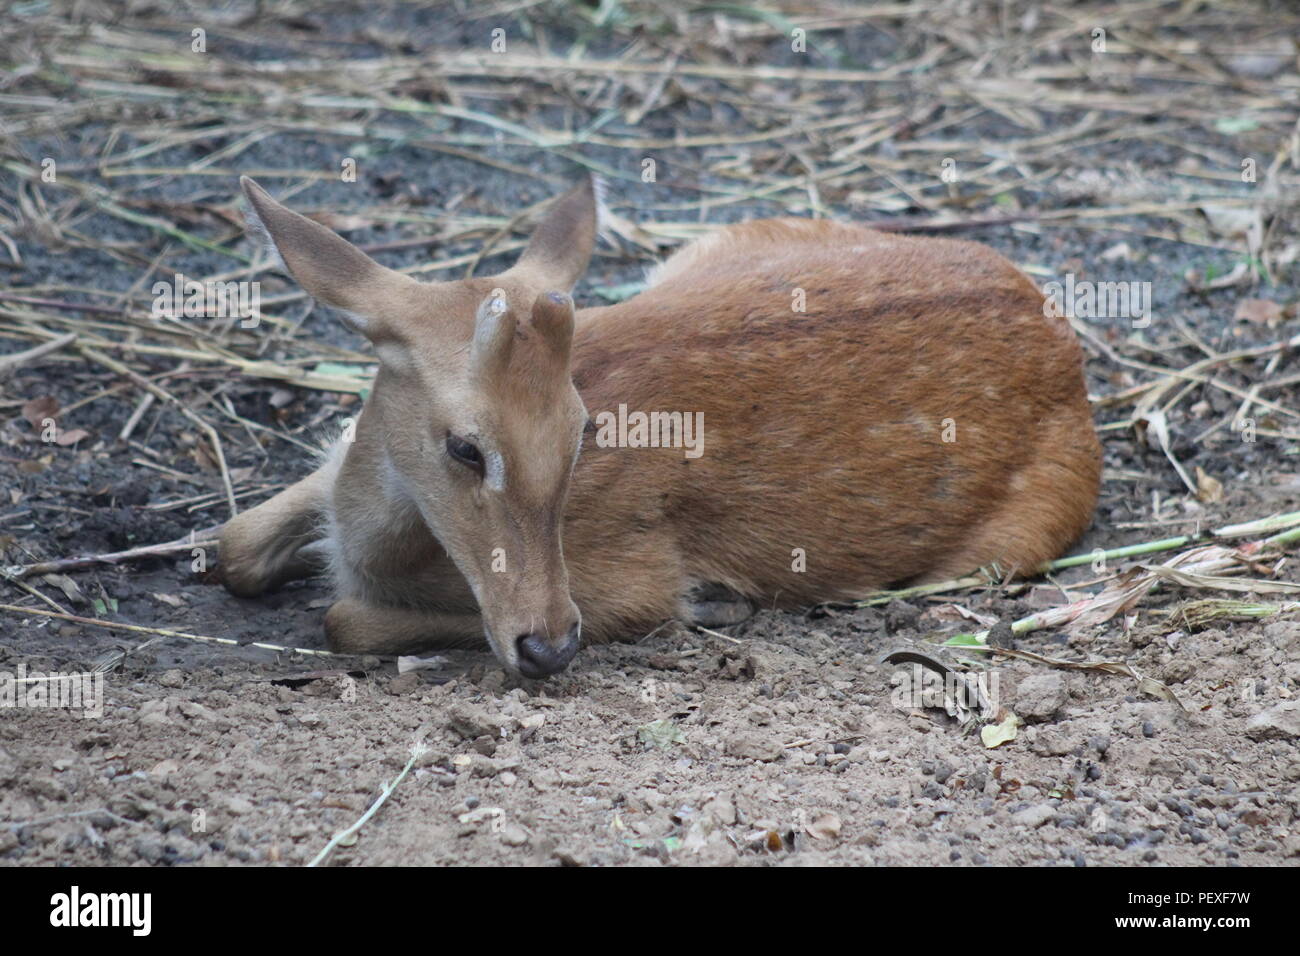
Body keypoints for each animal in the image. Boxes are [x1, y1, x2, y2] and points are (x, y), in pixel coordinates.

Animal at [218, 175, 1101, 679]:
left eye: (580, 433)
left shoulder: (633, 579)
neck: (380, 549)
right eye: (464, 446)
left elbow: (339, 616)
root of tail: (1054, 322)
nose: (548, 645)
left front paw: (713, 607)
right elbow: (233, 546)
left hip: (1020, 532)